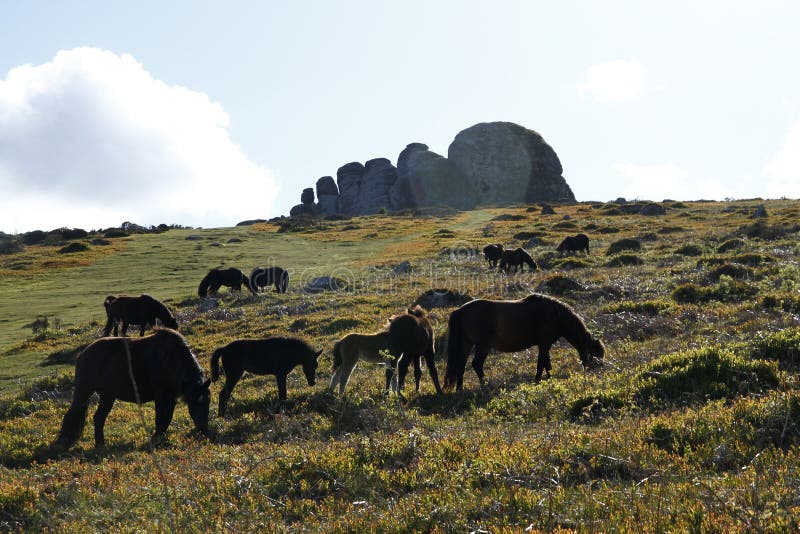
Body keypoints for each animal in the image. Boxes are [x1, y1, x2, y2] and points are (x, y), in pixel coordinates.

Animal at [55, 328, 211, 449]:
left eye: (207, 401)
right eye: (196, 402)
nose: (204, 430)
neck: (171, 359)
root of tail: (83, 354)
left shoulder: (171, 397)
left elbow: (166, 418)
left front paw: (160, 437)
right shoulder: (161, 396)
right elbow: (160, 418)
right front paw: (156, 438)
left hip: (108, 396)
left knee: (98, 418)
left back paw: (100, 445)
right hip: (83, 392)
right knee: (71, 415)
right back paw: (62, 444)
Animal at [443, 293, 605, 390]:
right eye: (593, 356)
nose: (591, 372)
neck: (555, 315)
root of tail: (460, 311)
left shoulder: (544, 345)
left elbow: (546, 364)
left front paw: (548, 380)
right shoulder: (544, 344)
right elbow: (543, 364)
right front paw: (539, 380)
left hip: (467, 344)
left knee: (461, 365)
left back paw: (460, 388)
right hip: (483, 346)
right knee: (476, 364)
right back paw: (486, 384)